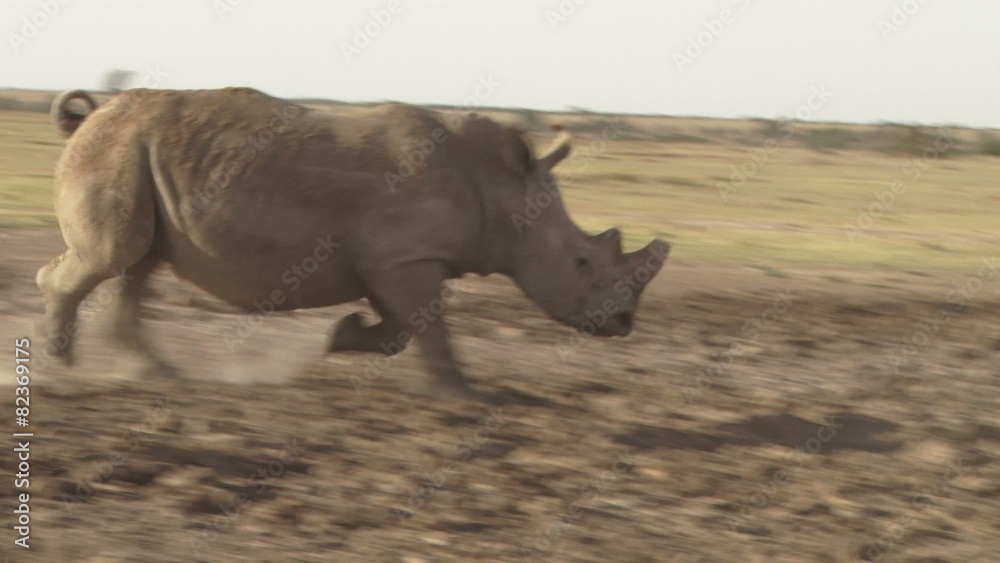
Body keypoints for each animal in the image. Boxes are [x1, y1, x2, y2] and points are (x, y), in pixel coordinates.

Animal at [38, 87, 670, 399]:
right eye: (582, 261)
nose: (624, 324)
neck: (502, 187)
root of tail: (92, 116)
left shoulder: (392, 260)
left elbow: (401, 330)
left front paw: (340, 337)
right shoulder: (407, 258)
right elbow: (428, 328)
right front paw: (464, 395)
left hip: (135, 155)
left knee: (137, 266)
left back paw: (155, 374)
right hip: (117, 149)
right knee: (114, 258)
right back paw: (61, 362)